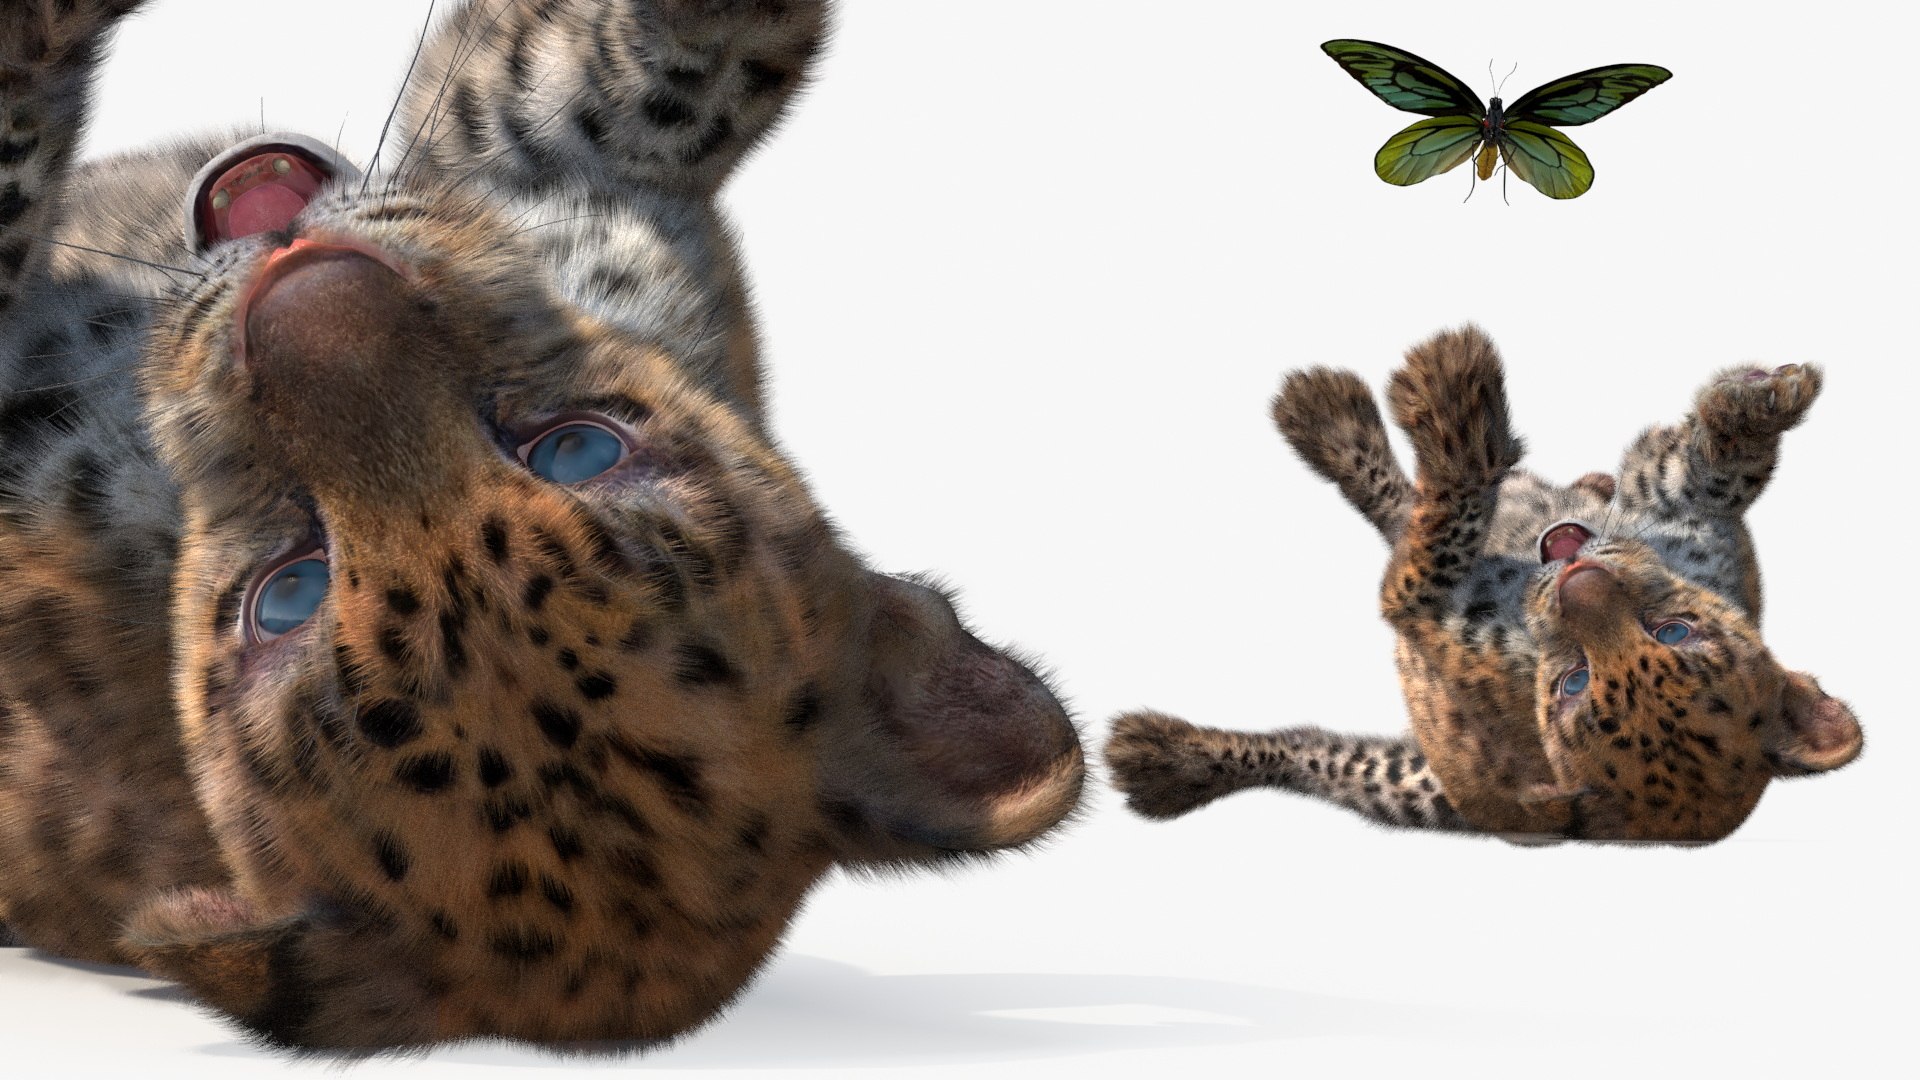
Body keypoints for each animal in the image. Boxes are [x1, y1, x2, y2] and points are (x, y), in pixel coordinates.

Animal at [1106, 325, 1861, 843]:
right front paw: (1768, 394)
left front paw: (1450, 400)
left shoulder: (1423, 599)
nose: (1578, 575)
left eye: (1574, 683)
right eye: (1674, 632)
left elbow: (1441, 520)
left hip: (1420, 784)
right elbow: (1717, 462)